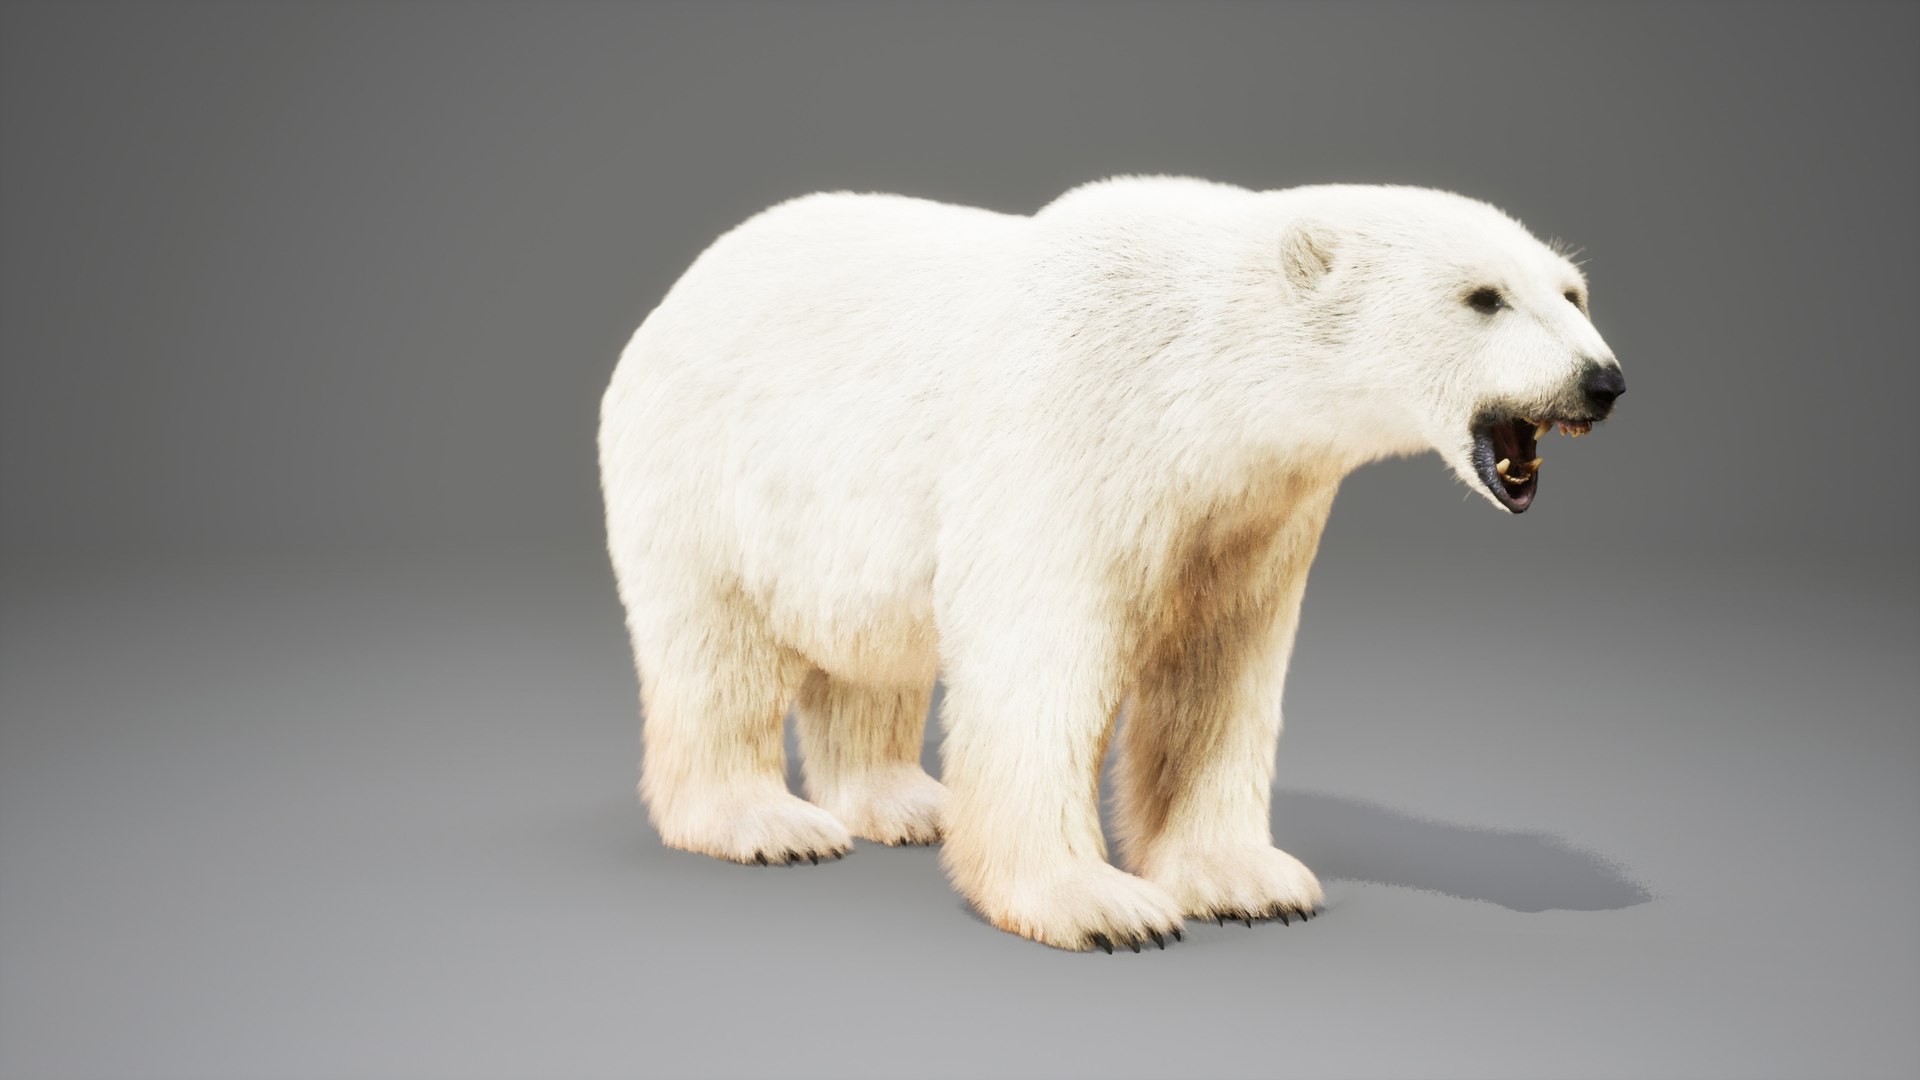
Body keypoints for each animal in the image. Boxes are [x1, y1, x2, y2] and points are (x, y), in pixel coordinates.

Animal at [597, 177, 1623, 951]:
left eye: (1572, 292)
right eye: (1483, 296)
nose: (1602, 381)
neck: (1197, 373)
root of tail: (681, 288)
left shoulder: (1253, 516)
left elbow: (1219, 678)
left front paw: (1246, 879)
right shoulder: (1070, 426)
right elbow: (1042, 662)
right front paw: (1099, 904)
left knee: (868, 662)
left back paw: (907, 804)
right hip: (706, 475)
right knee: (719, 653)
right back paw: (767, 824)